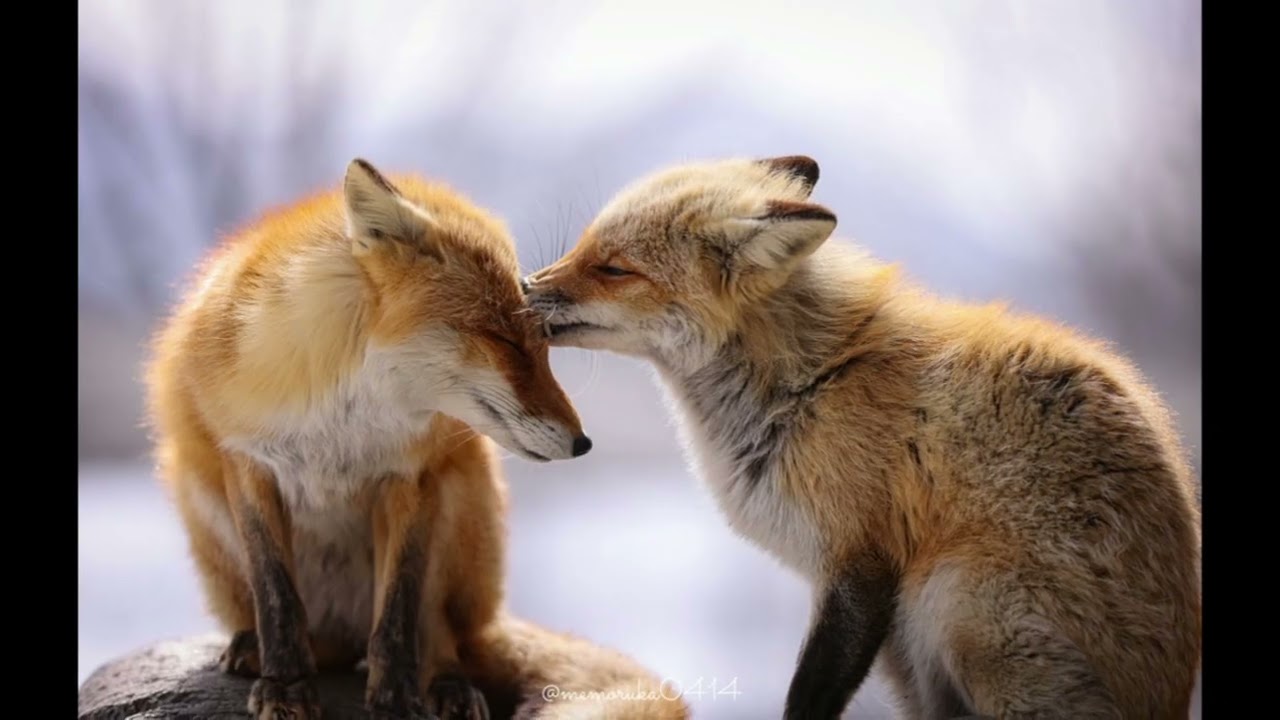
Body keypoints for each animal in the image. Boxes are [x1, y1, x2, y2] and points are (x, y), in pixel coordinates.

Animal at [144, 158, 689, 720]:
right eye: (504, 339)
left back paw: (446, 683)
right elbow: (278, 598)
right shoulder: (249, 463)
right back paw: (263, 650)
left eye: (543, 345)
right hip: (199, 497)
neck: (342, 421)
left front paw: (397, 700)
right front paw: (286, 684)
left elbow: (399, 616)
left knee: (436, 633)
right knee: (323, 638)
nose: (583, 443)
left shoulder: (410, 478)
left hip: (461, 496)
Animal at [523, 156, 1202, 720]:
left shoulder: (859, 564)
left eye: (614, 269)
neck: (809, 381)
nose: (526, 288)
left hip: (957, 604)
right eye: (582, 247)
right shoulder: (885, 626)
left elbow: (809, 697)